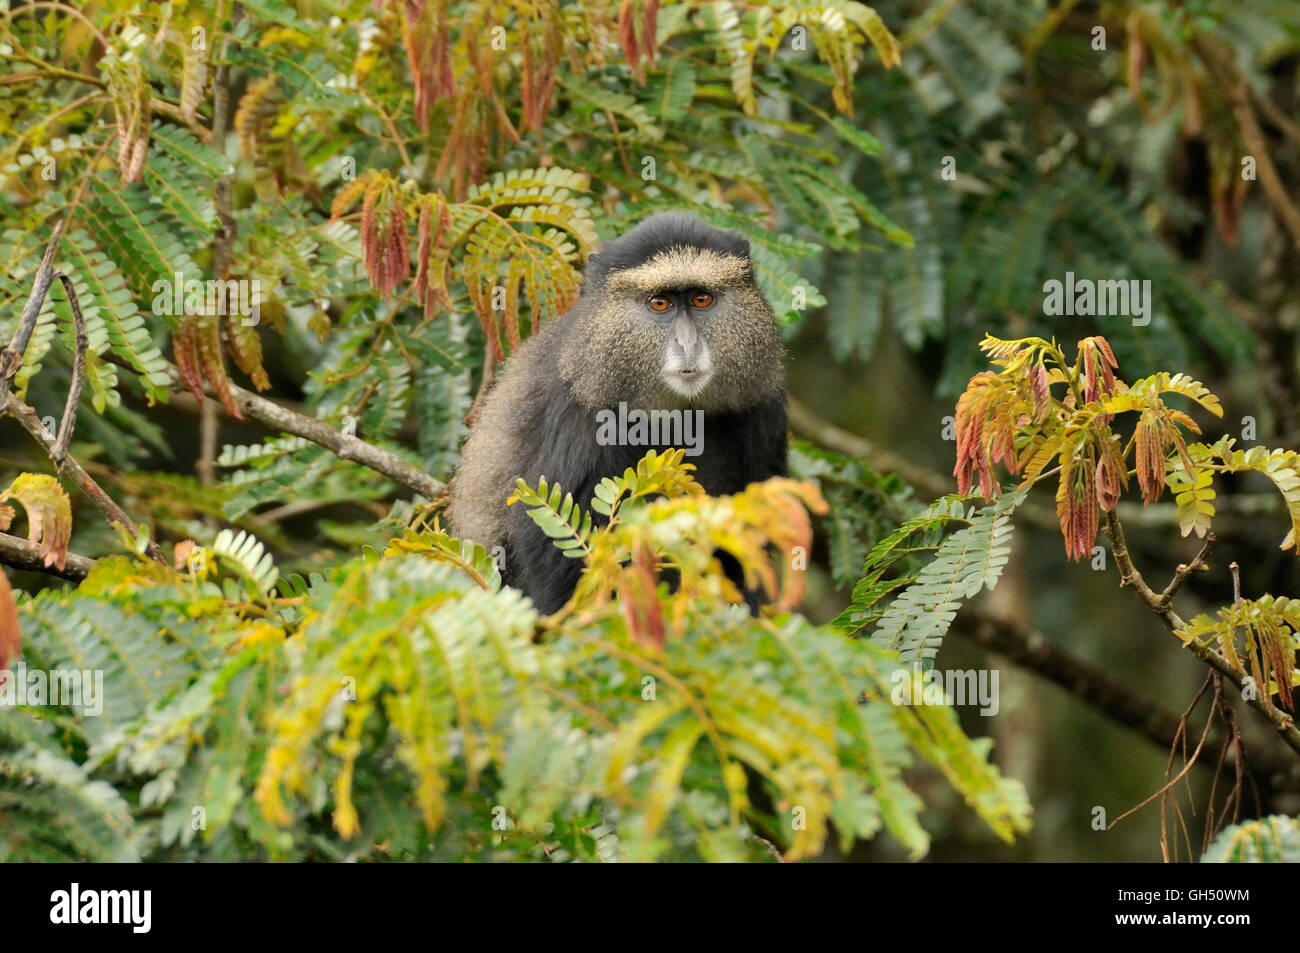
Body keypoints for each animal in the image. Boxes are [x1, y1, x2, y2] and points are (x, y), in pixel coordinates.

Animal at [447, 211, 788, 614]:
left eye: (702, 299)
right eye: (660, 304)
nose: (687, 344)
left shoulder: (764, 401)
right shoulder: (581, 415)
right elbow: (550, 548)